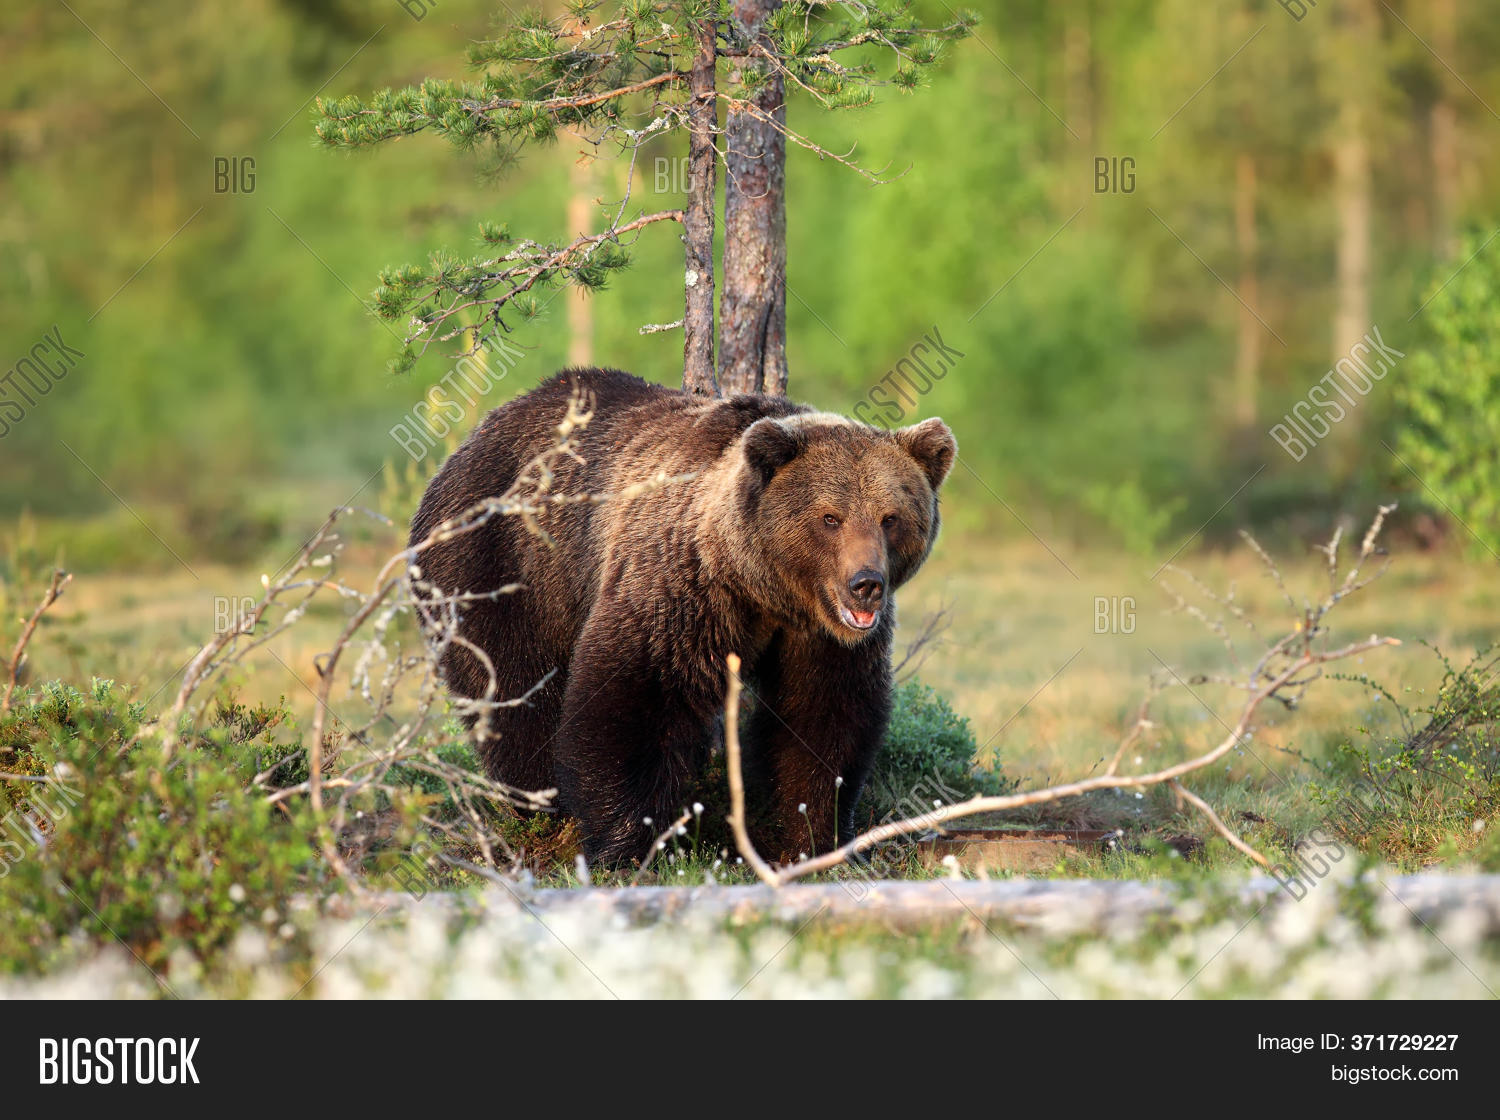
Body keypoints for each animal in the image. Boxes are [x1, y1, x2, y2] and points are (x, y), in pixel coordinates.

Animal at [408, 367, 956, 866]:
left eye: (890, 518)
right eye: (830, 517)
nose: (866, 583)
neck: (764, 587)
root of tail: (476, 436)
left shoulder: (820, 638)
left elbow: (821, 718)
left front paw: (813, 839)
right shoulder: (683, 588)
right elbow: (639, 699)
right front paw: (625, 845)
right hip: (504, 565)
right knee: (515, 689)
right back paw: (540, 805)